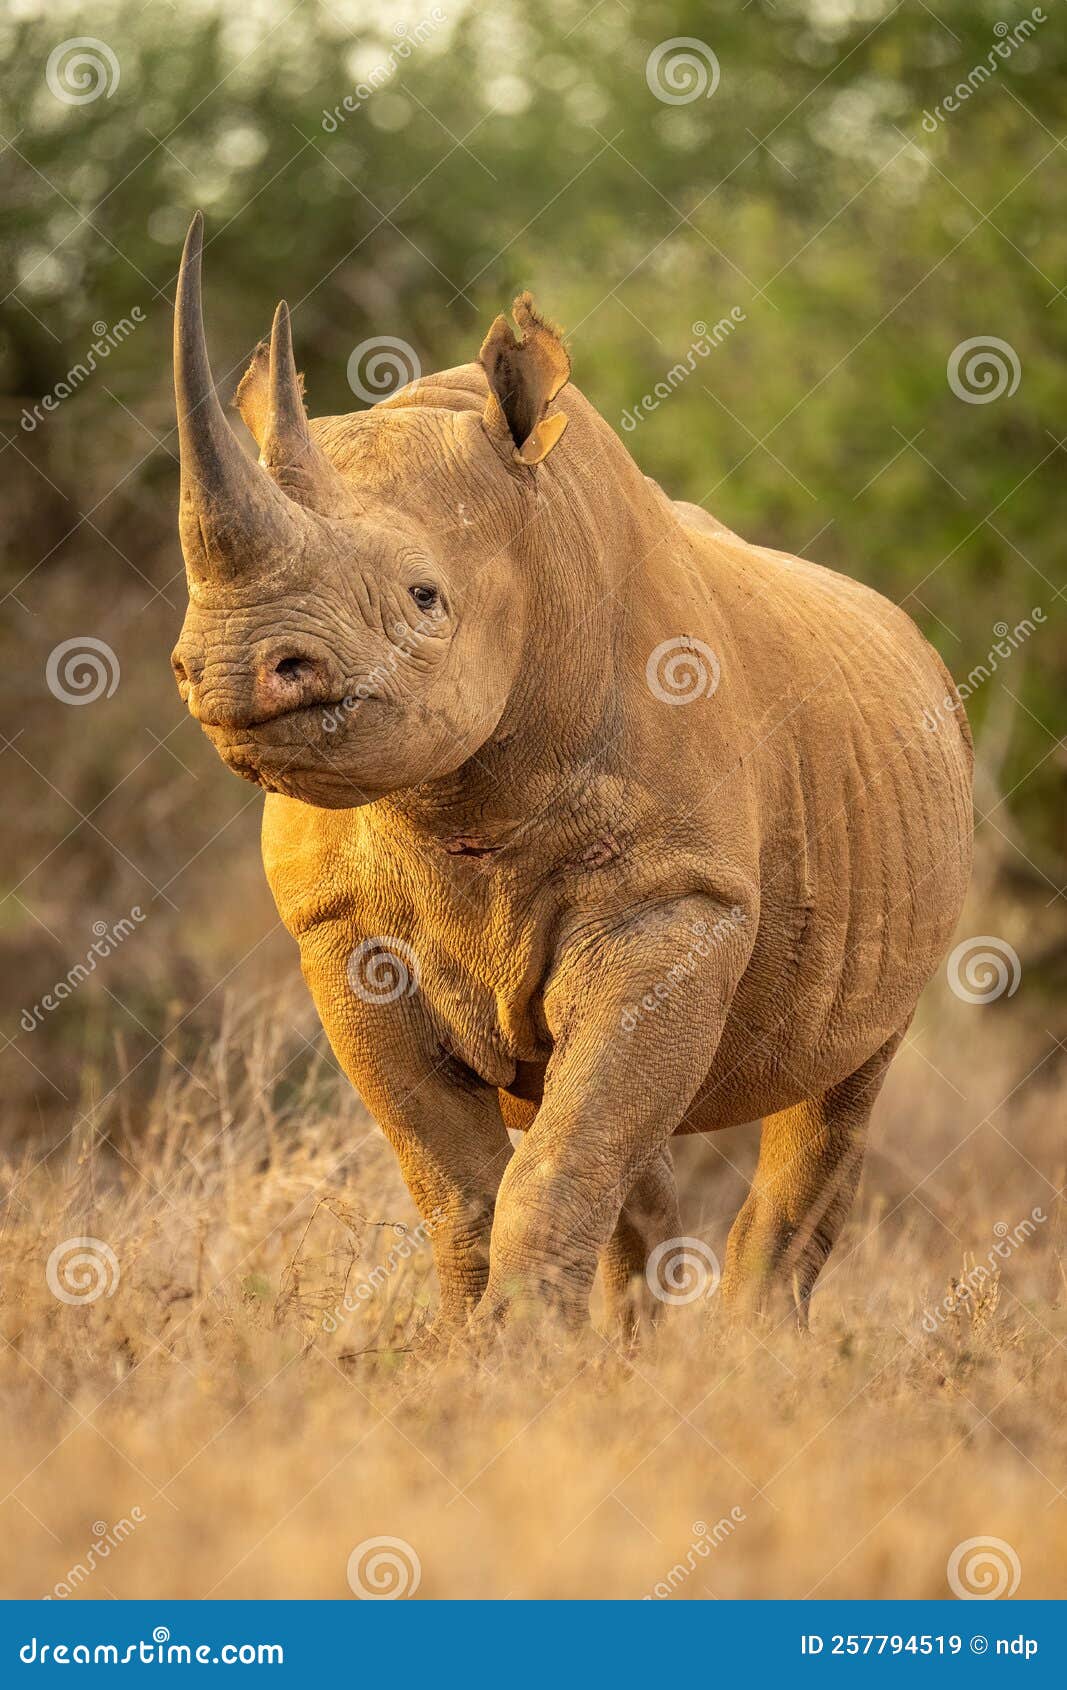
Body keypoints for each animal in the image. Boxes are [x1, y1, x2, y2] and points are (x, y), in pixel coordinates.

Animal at [171, 212, 972, 1340]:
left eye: (425, 598)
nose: (236, 667)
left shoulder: (675, 898)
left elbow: (557, 1165)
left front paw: (513, 1356)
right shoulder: (337, 926)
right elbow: (460, 1182)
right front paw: (473, 1355)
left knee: (839, 1088)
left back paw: (755, 1356)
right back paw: (631, 1355)